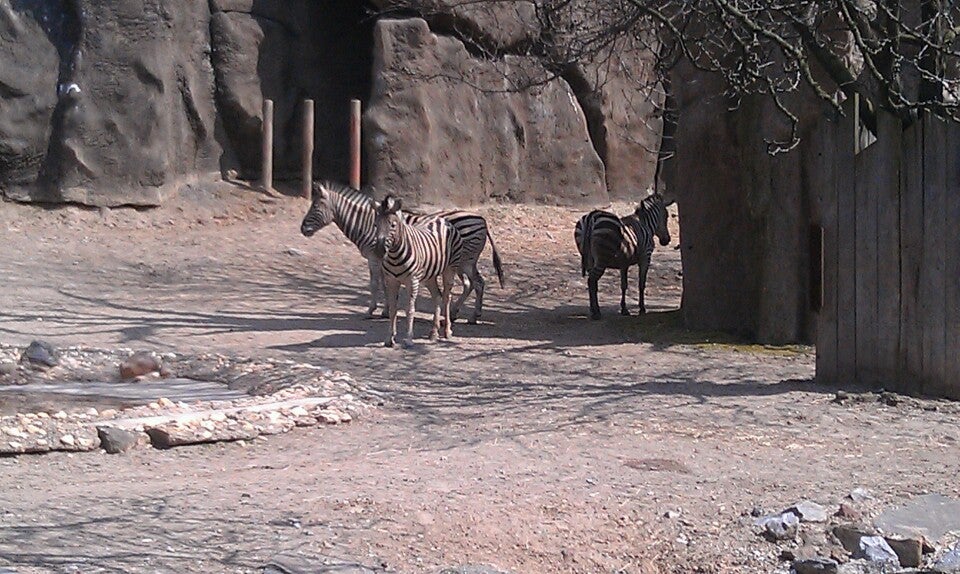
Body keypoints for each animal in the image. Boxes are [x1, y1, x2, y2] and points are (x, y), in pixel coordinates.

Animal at [299, 181, 504, 322]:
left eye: (315, 207)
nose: (302, 230)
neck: (367, 224)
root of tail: (482, 220)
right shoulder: (383, 259)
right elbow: (384, 284)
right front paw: (385, 310)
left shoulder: (374, 258)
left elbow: (374, 284)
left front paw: (371, 310)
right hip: (464, 262)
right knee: (472, 284)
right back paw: (457, 313)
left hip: (464, 261)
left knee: (477, 283)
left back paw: (472, 316)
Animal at [374, 194, 463, 347]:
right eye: (376, 225)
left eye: (393, 225)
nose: (379, 251)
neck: (394, 256)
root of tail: (440, 219)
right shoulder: (391, 281)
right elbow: (393, 309)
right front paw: (389, 338)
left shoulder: (412, 281)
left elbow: (410, 310)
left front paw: (409, 339)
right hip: (429, 275)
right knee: (437, 296)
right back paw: (433, 333)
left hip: (450, 269)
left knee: (446, 297)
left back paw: (447, 331)